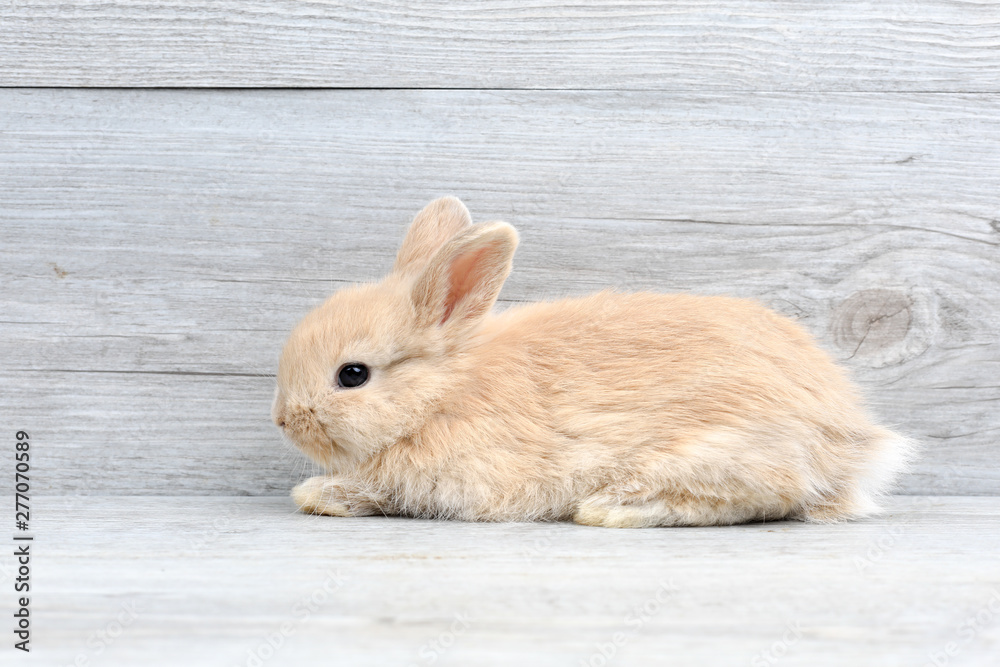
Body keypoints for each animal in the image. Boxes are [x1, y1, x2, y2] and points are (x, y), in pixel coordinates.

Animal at [272, 196, 914, 527]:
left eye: (352, 375)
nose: (282, 419)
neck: (444, 394)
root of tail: (849, 439)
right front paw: (319, 493)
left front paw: (319, 494)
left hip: (714, 454)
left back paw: (608, 510)